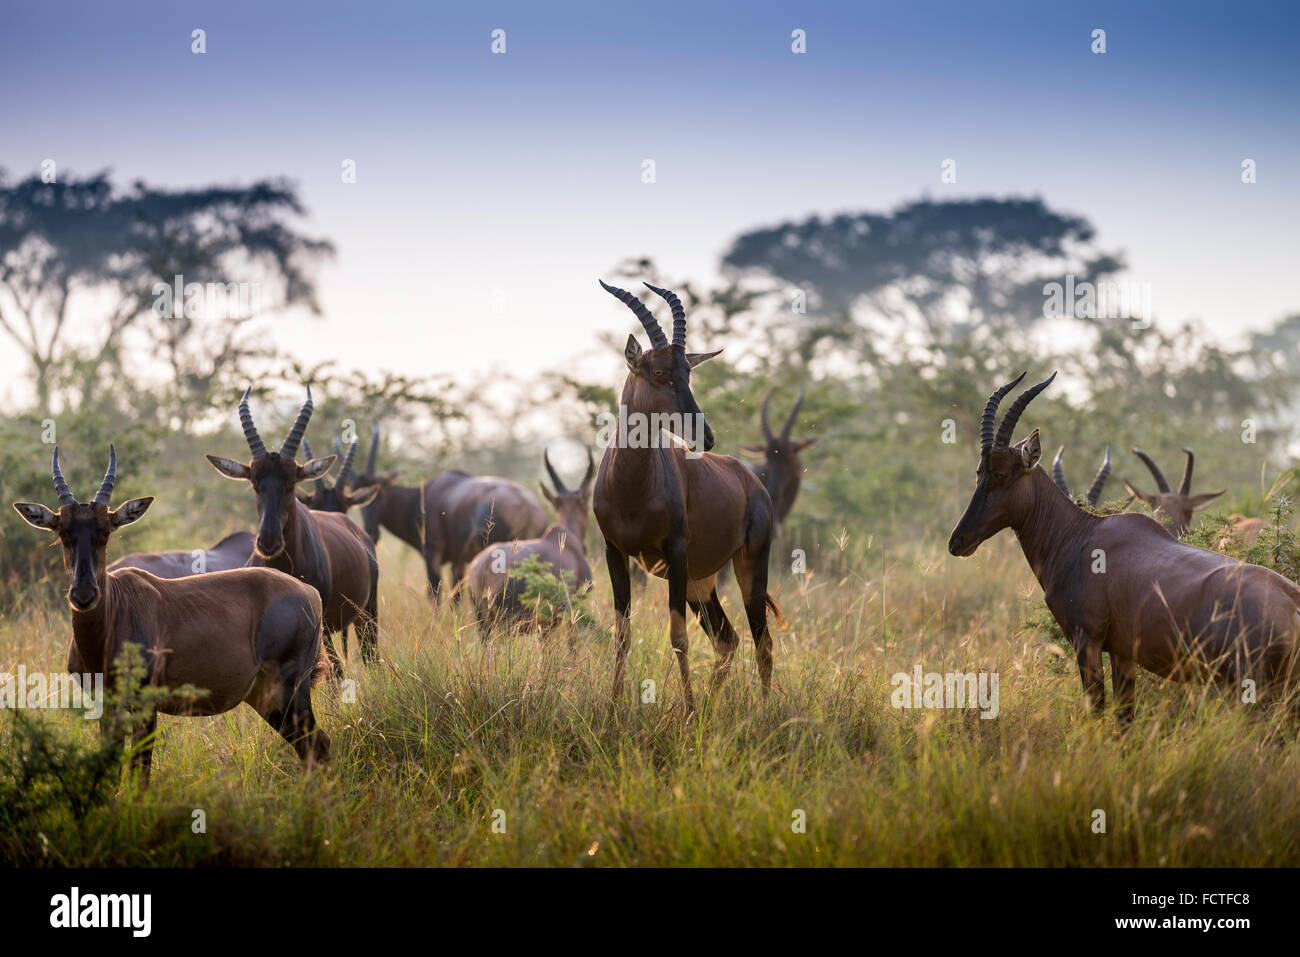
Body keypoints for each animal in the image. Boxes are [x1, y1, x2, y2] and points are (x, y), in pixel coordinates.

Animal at [12, 447, 330, 781]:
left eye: (106, 530)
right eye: (62, 531)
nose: (83, 595)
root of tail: (310, 593)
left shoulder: (145, 706)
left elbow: (140, 773)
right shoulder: (105, 705)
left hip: (290, 688)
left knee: (318, 745)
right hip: (265, 697)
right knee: (312, 747)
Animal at [593, 280, 782, 712]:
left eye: (689, 371)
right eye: (660, 371)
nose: (705, 436)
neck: (630, 486)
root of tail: (752, 481)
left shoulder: (676, 553)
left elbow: (677, 637)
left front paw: (688, 711)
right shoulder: (614, 553)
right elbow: (622, 634)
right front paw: (613, 707)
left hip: (748, 566)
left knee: (761, 641)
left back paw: (763, 711)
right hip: (702, 581)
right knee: (728, 640)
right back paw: (713, 705)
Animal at [949, 373, 1300, 725]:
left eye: (1001, 473)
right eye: (978, 471)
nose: (958, 541)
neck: (1081, 535)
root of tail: (1292, 599)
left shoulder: (1087, 642)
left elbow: (1097, 710)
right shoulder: (1122, 652)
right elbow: (1124, 719)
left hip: (1255, 689)